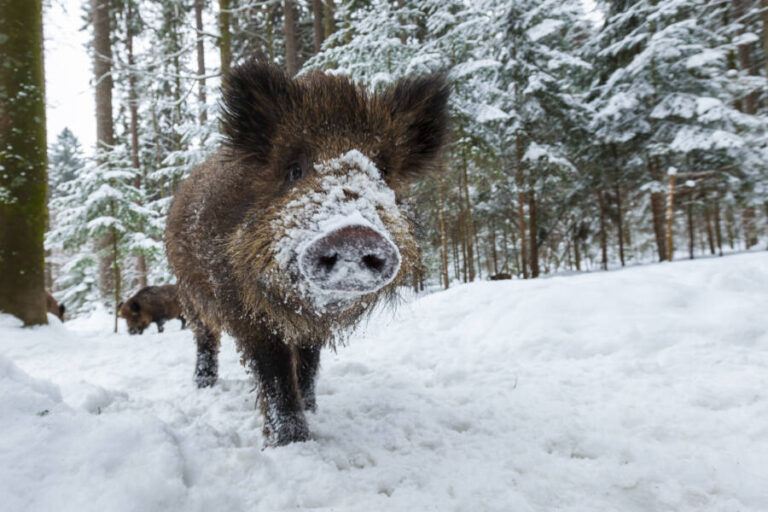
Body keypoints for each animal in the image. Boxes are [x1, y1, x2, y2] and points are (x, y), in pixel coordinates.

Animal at [165, 60, 449, 446]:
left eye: (382, 172)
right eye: (294, 169)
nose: (353, 231)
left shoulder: (311, 328)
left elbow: (308, 364)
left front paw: (312, 409)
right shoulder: (246, 311)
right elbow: (275, 373)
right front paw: (291, 442)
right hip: (189, 296)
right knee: (205, 339)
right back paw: (204, 385)